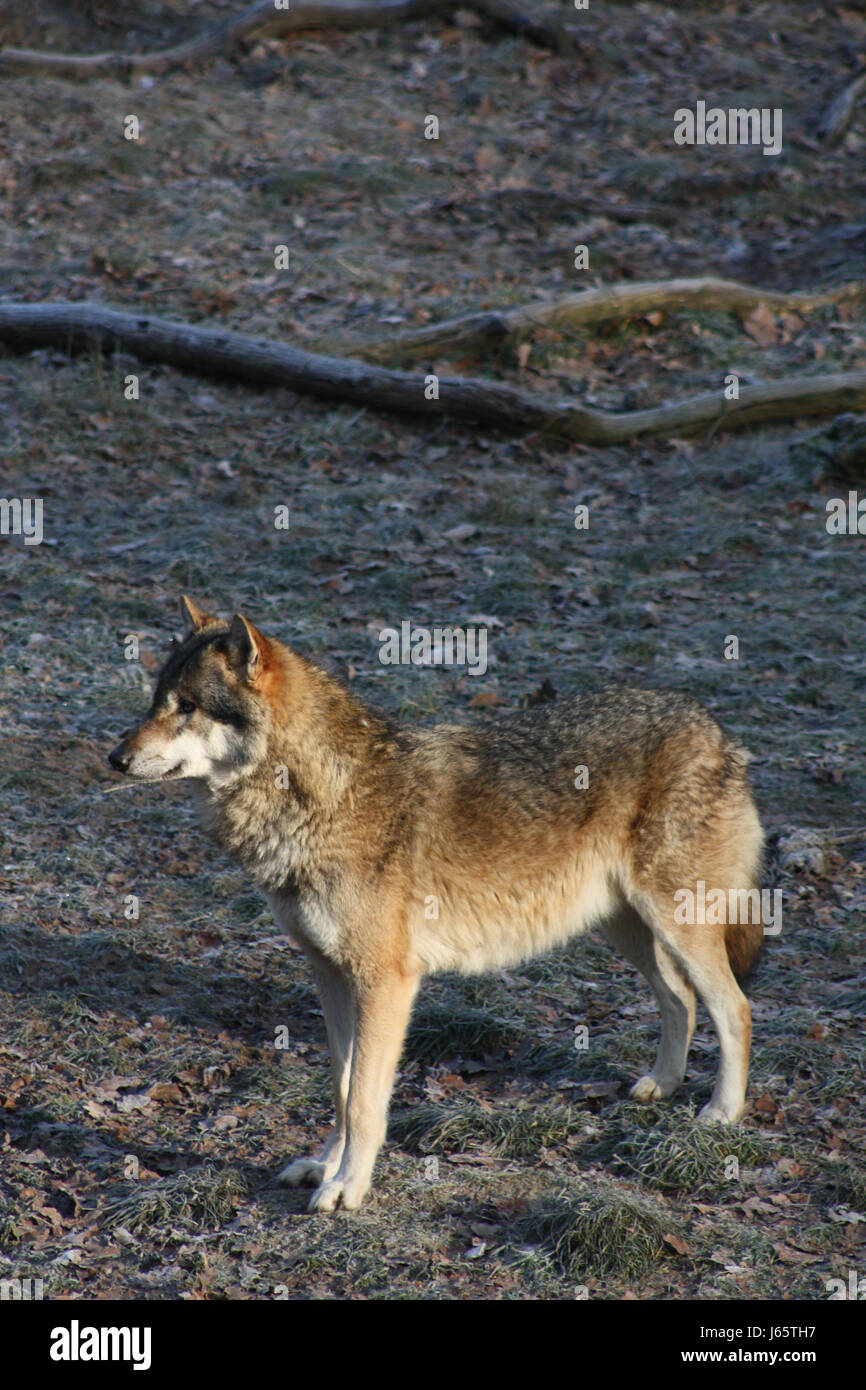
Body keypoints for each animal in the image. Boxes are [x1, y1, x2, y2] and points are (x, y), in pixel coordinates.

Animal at [108, 596, 765, 1211]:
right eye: (156, 700)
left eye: (187, 707)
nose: (115, 758)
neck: (320, 797)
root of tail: (716, 728)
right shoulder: (331, 975)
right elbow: (341, 1091)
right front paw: (324, 1166)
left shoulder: (386, 982)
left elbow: (365, 1101)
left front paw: (348, 1189)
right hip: (626, 928)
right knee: (680, 998)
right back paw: (663, 1084)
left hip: (677, 921)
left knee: (734, 1006)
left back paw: (721, 1113)